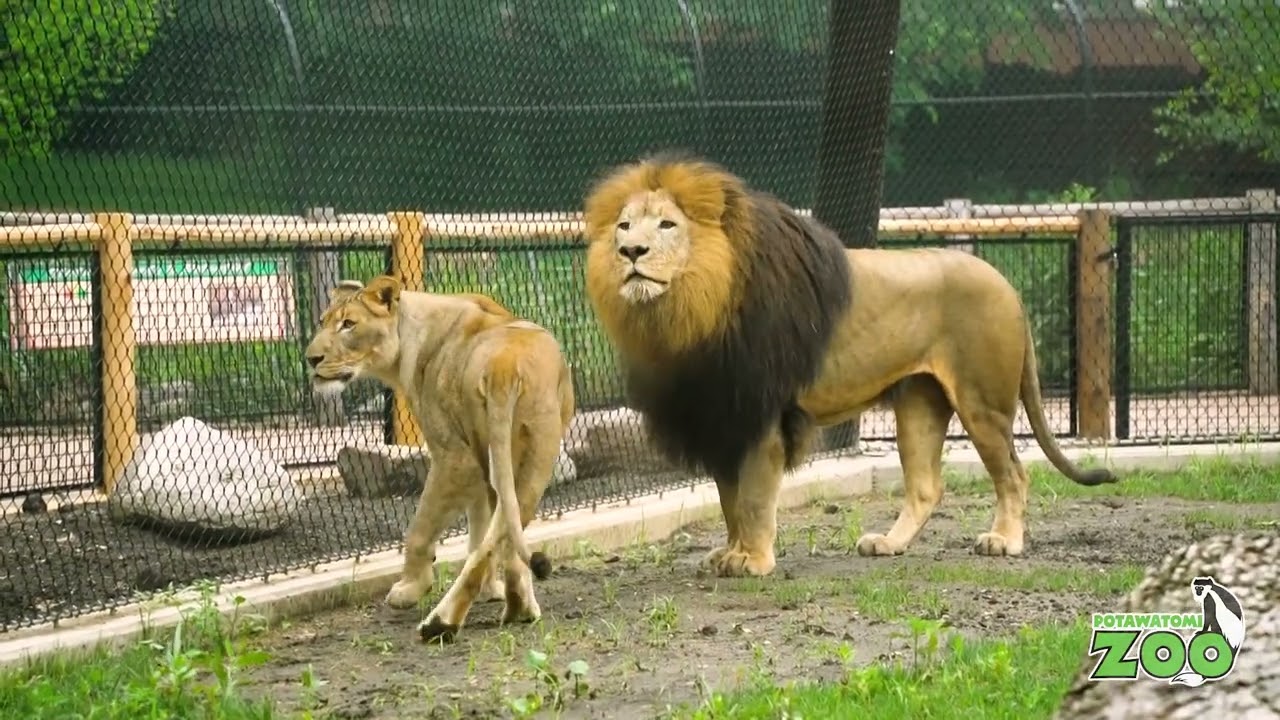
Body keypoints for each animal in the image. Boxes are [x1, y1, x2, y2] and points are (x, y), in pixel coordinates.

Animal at [304, 275, 575, 641]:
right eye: (323, 322)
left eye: (348, 324)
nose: (311, 359)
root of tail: (504, 367)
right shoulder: (480, 466)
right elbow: (480, 530)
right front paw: (496, 590)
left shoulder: (454, 456)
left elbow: (420, 529)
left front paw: (409, 589)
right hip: (529, 456)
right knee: (502, 530)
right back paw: (516, 608)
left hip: (484, 455)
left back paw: (440, 623)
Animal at [581, 152, 1117, 579]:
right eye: (625, 226)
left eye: (667, 225)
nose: (630, 252)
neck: (688, 309)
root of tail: (1008, 285)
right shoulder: (720, 418)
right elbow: (728, 500)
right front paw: (730, 552)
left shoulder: (761, 415)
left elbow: (751, 499)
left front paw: (753, 561)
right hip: (918, 402)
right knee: (927, 487)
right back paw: (890, 544)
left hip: (982, 403)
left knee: (1014, 474)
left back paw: (1003, 540)